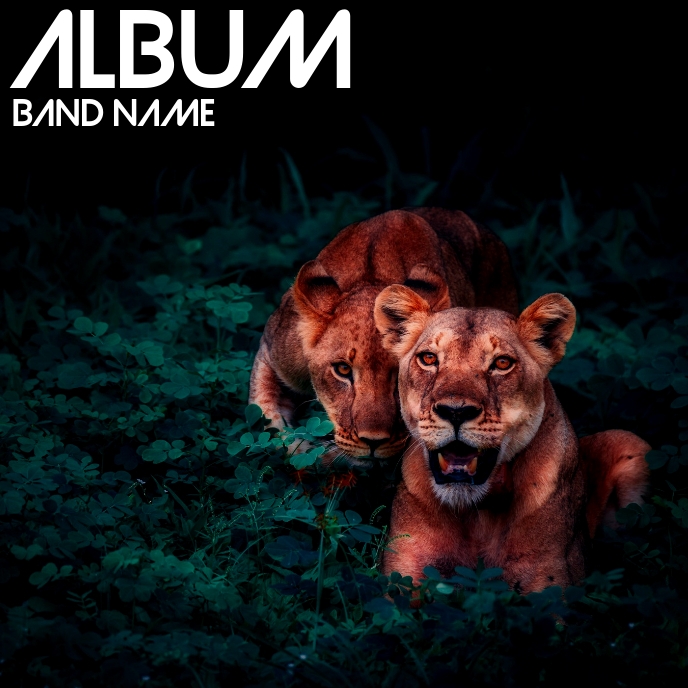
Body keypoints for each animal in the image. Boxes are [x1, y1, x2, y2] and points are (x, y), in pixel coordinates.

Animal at [374, 286, 650, 593]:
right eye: (429, 358)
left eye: (502, 363)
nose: (455, 411)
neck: (476, 513)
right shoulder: (403, 573)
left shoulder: (550, 580)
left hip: (629, 441)